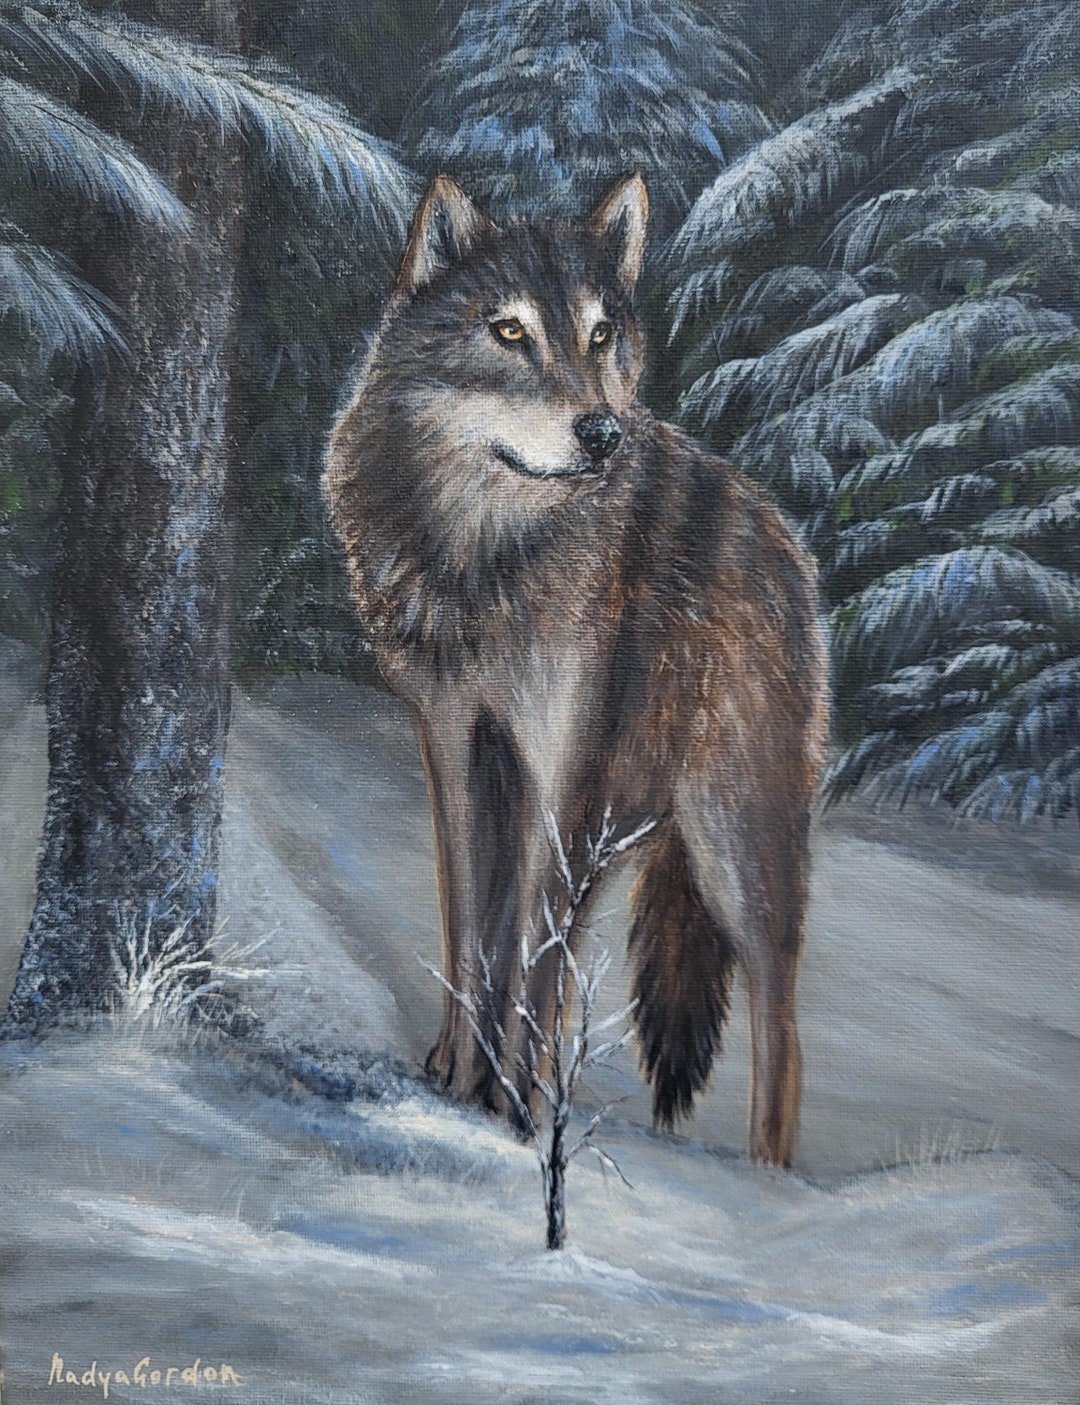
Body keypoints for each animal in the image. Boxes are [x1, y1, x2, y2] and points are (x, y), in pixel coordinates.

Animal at [325, 174, 829, 1166]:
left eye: (600, 335)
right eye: (510, 331)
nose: (602, 433)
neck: (488, 554)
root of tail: (782, 537)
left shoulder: (564, 770)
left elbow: (534, 953)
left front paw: (514, 1106)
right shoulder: (455, 747)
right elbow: (471, 930)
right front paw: (455, 1079)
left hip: (733, 842)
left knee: (781, 1025)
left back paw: (769, 1179)